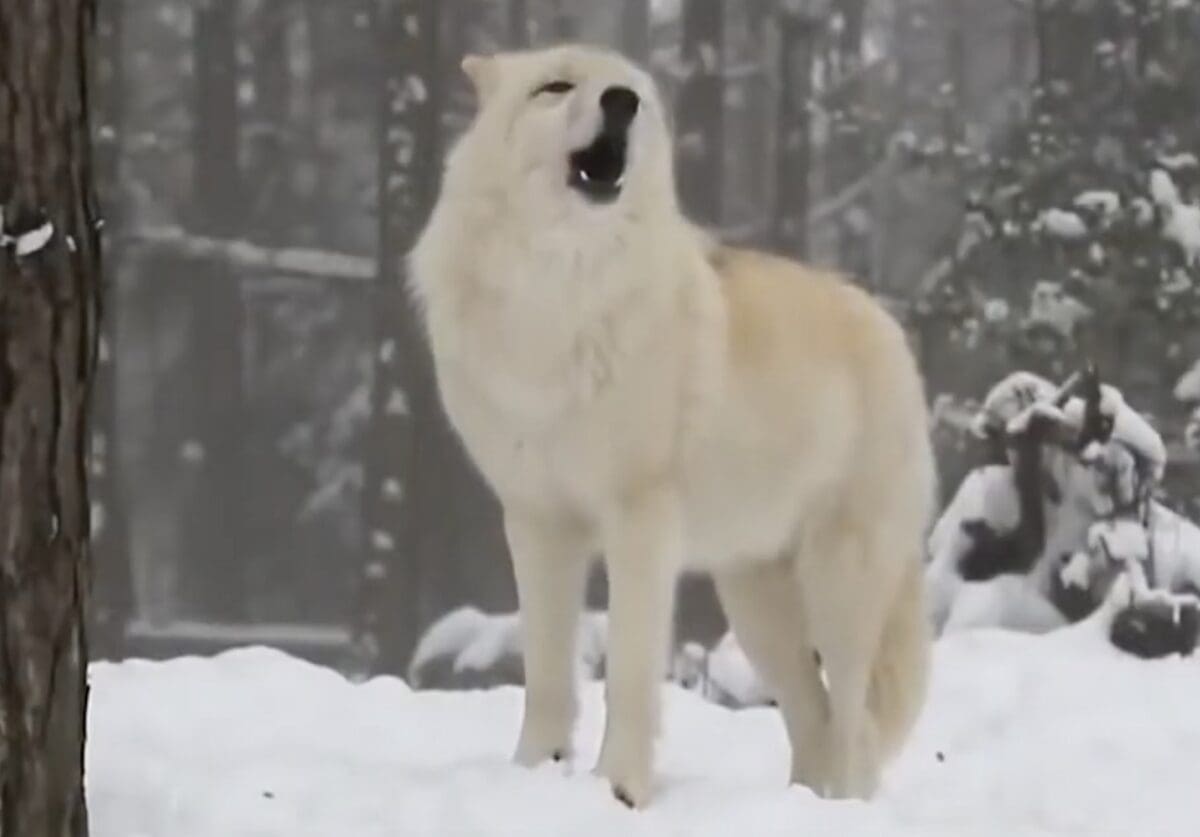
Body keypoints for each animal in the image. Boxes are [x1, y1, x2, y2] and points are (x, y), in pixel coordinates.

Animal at [409, 44, 935, 808]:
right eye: (556, 87)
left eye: (632, 93)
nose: (621, 103)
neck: (559, 298)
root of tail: (888, 325)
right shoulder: (537, 521)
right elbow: (546, 675)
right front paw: (534, 772)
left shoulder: (640, 522)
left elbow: (630, 676)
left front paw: (620, 788)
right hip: (756, 606)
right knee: (813, 718)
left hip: (838, 589)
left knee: (855, 726)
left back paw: (841, 805)